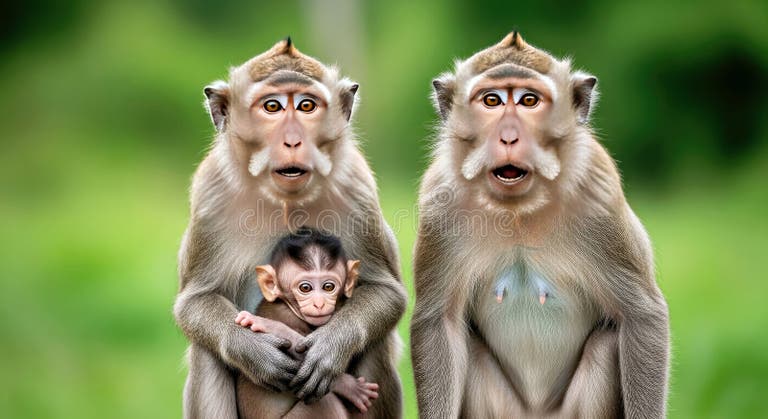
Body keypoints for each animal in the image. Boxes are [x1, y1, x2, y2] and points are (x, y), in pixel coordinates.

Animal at [234, 227, 380, 418]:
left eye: (328, 287)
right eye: (305, 288)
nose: (319, 304)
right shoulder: (284, 314)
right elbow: (300, 358)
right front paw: (351, 387)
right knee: (326, 403)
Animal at [410, 32, 669, 418]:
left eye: (529, 100)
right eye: (491, 100)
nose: (508, 137)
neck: (519, 212)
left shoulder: (600, 196)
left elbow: (642, 315)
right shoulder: (438, 203)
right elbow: (438, 322)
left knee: (607, 342)